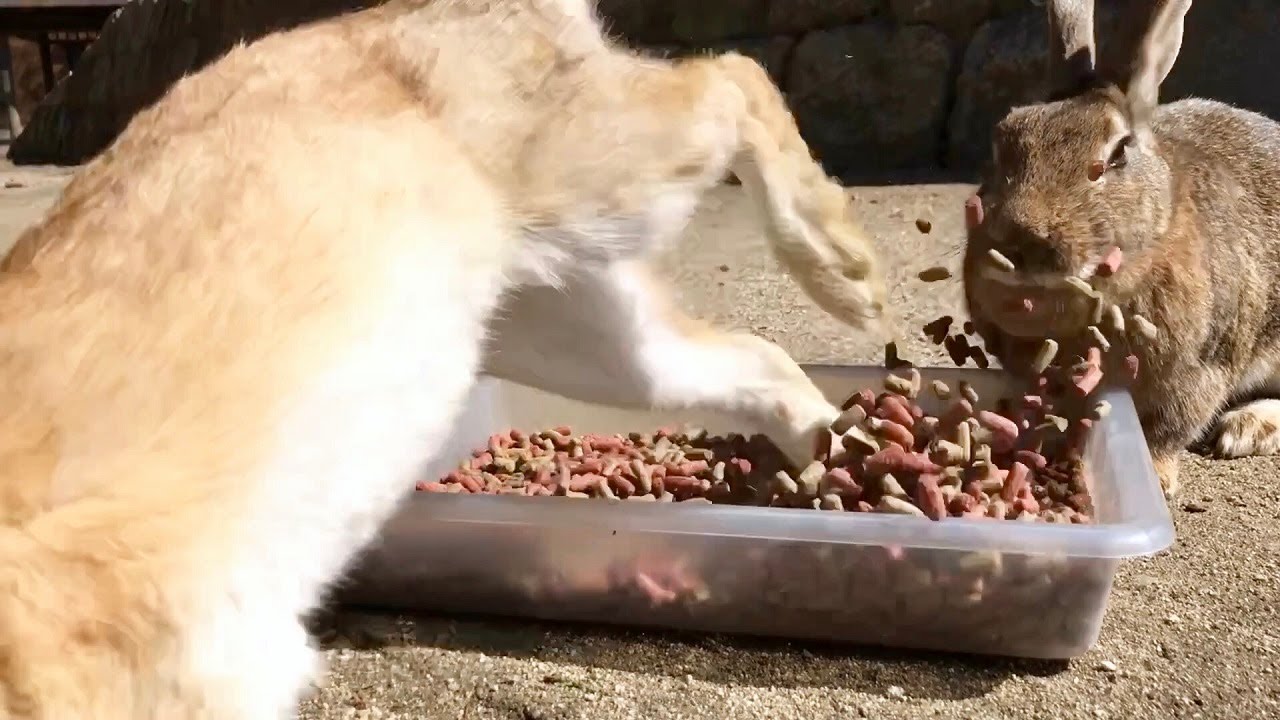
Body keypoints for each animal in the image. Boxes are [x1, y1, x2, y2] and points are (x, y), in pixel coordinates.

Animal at [0, 0, 886, 717]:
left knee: (732, 79)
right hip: (582, 340)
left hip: (603, 176)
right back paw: (841, 456)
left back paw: (848, 275)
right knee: (760, 364)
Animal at [962, 0, 1280, 500]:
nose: (1020, 240)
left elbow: (1165, 430)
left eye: (1118, 153)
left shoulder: (1199, 369)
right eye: (1002, 140)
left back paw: (1244, 428)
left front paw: (1158, 481)